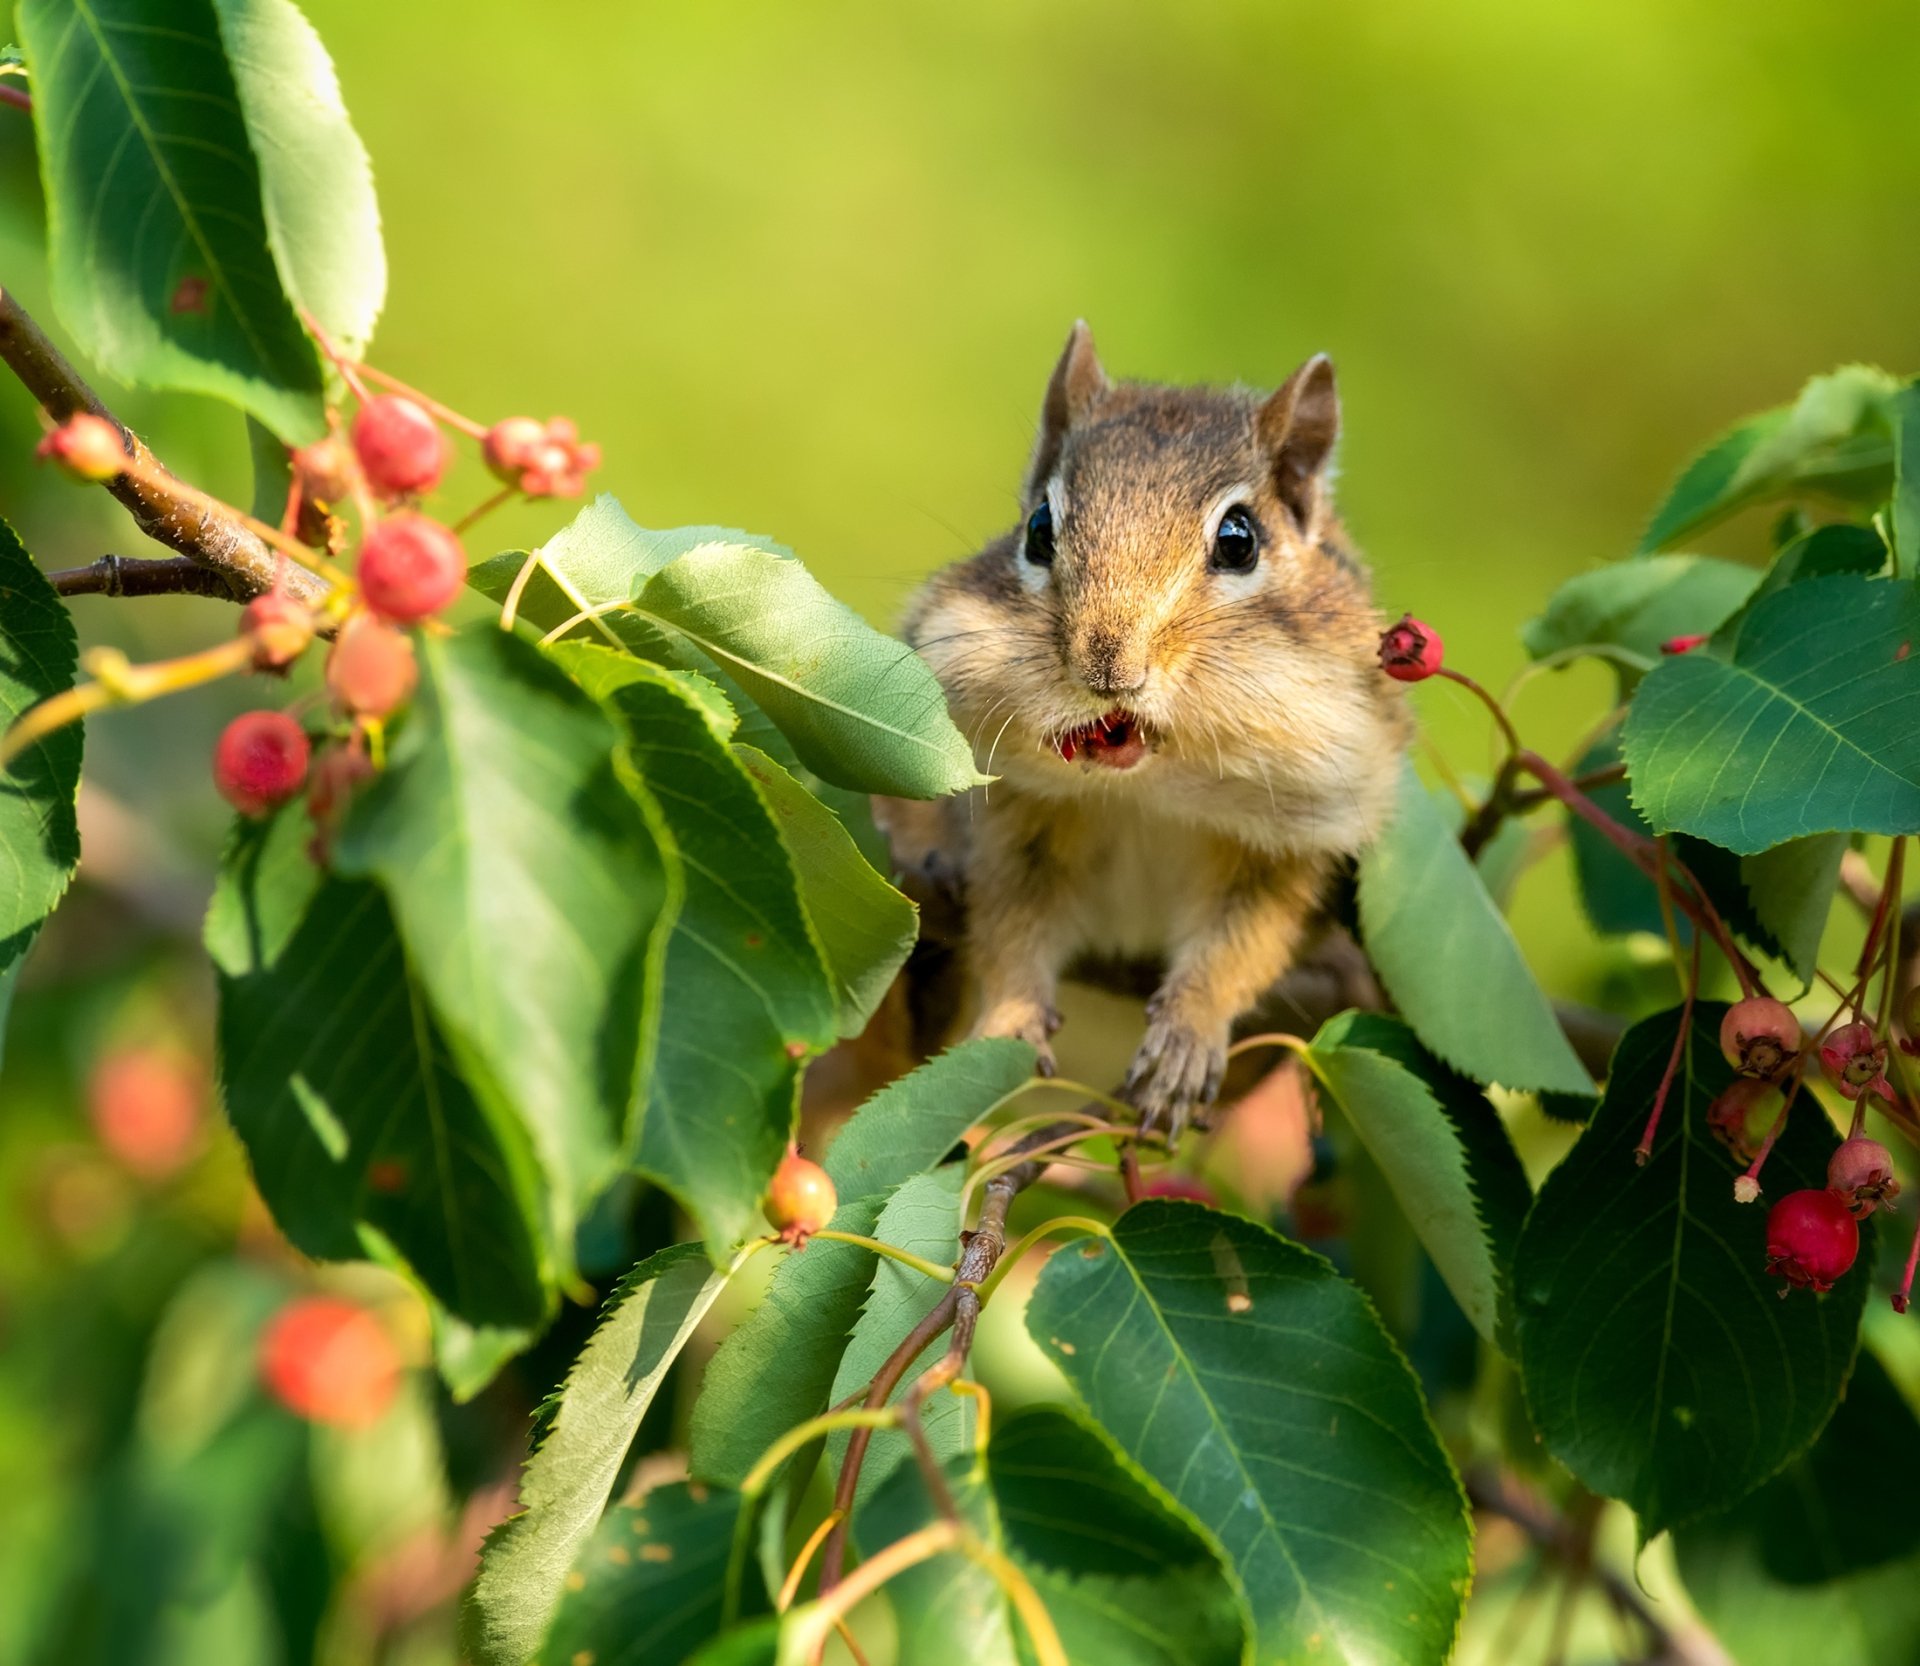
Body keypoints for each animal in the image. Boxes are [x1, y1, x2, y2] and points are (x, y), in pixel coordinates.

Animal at [881, 323, 1409, 1139]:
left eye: (1240, 540)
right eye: (1038, 530)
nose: (1107, 663)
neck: (1147, 790)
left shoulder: (1288, 843)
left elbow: (1238, 950)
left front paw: (1185, 1039)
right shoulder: (1024, 822)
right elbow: (1011, 927)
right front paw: (1007, 1020)